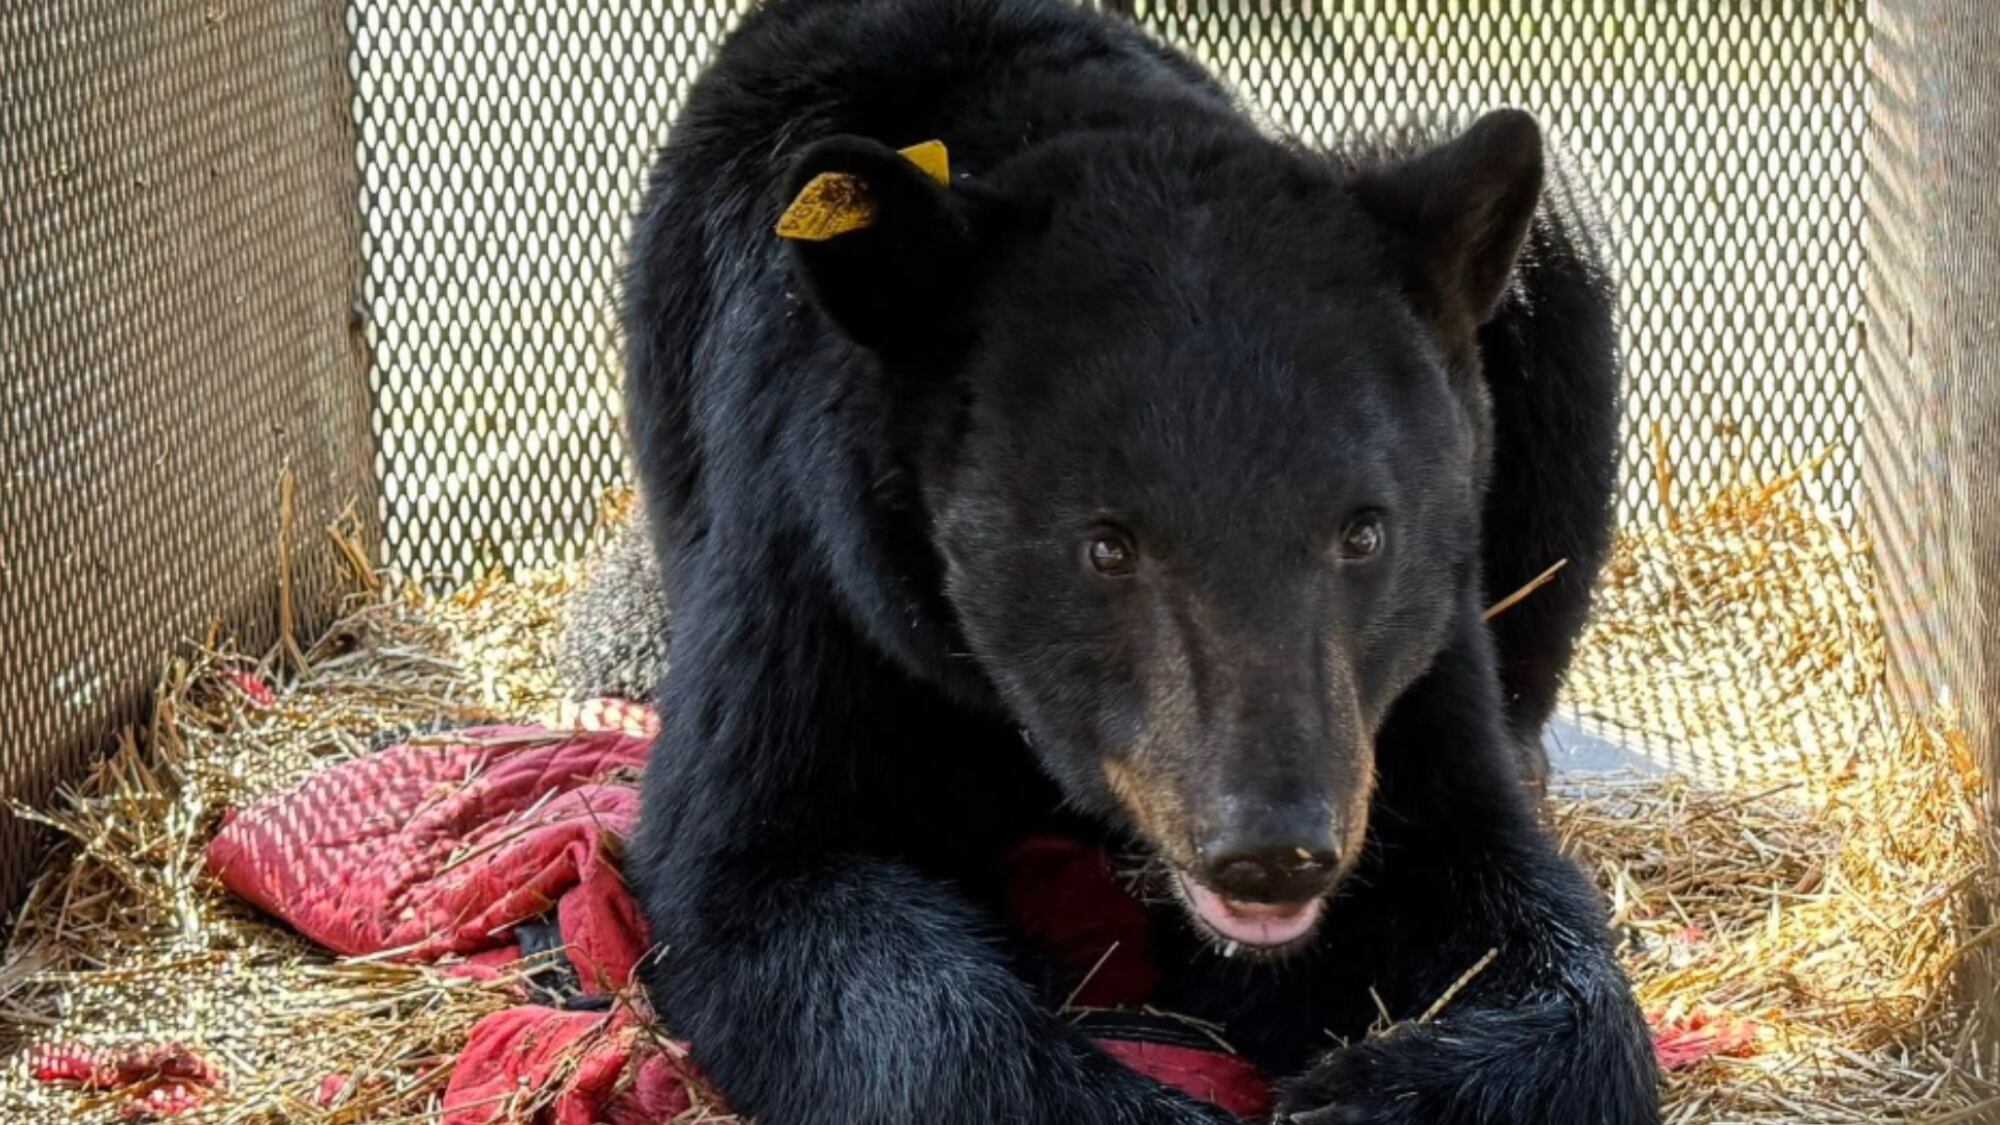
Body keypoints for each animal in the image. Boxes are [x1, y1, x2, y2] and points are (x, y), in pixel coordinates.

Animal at [619, 0, 1657, 1122]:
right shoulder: (815, 567)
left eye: (1364, 531)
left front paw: (1374, 1087)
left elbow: (1483, 887)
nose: (1272, 852)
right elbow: (758, 874)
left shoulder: (1403, 679)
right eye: (1106, 546)